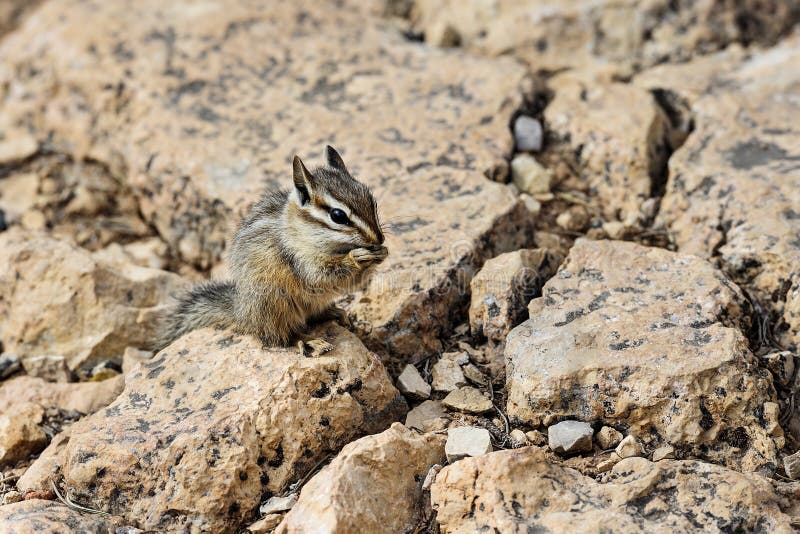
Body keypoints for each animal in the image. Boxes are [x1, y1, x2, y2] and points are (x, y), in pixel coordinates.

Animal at [156, 146, 388, 354]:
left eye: (373, 201)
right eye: (338, 216)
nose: (379, 238)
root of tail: (241, 312)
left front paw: (381, 253)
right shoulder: (298, 258)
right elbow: (319, 277)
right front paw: (357, 257)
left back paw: (336, 313)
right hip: (274, 304)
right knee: (280, 336)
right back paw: (309, 341)